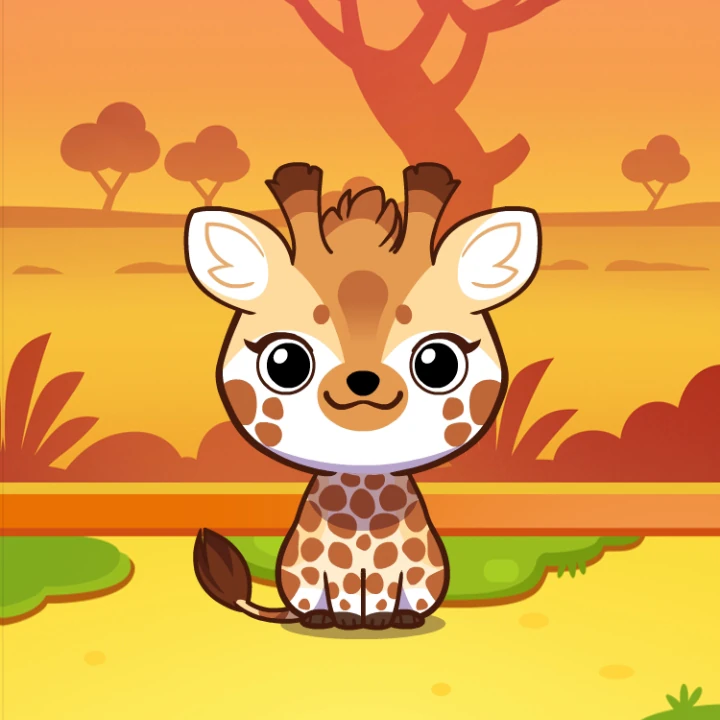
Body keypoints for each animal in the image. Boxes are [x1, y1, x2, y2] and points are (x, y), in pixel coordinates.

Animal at [187, 162, 541, 630]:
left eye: (438, 363)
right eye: (285, 362)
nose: (362, 382)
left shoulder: (406, 573)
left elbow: (384, 592)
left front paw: (383, 620)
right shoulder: (319, 572)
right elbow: (337, 590)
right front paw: (340, 620)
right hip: (297, 580)